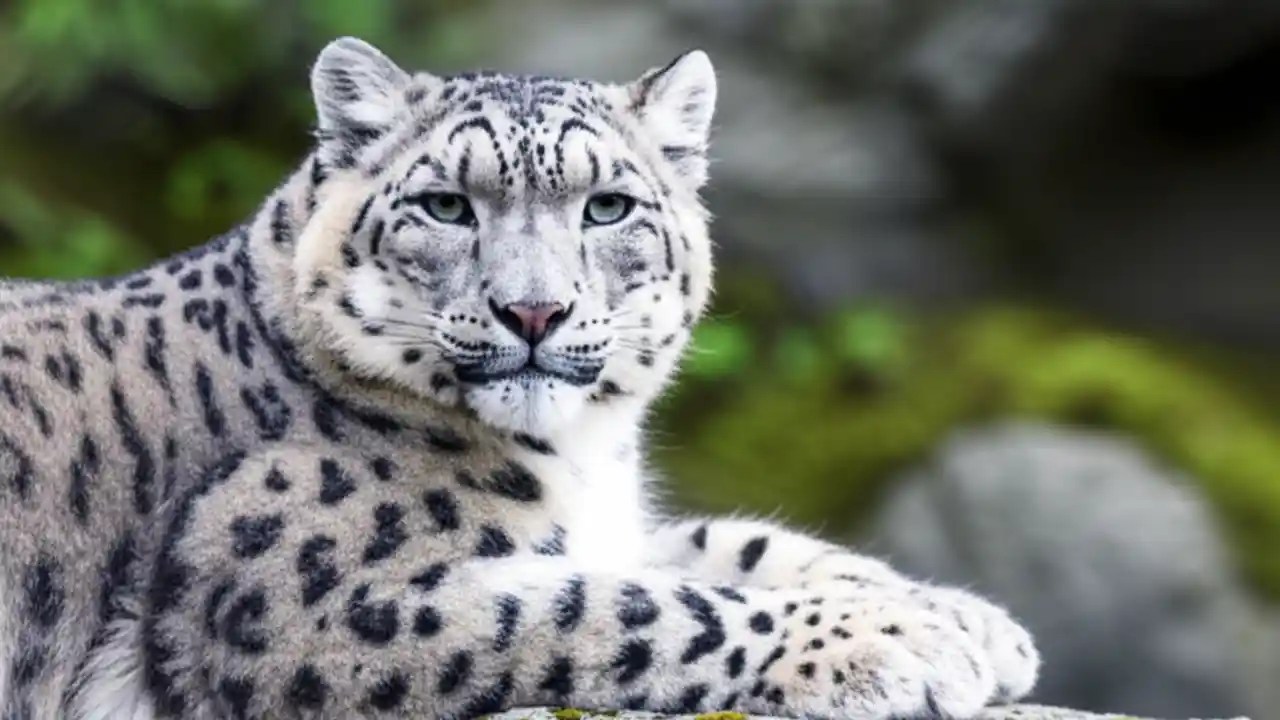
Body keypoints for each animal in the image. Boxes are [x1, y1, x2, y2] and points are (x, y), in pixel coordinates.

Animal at [0, 37, 1040, 719]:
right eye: (446, 206)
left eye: (608, 206)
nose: (533, 312)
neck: (579, 456)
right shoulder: (311, 602)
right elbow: (621, 607)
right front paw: (898, 642)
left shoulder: (605, 525)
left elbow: (723, 545)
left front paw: (967, 620)